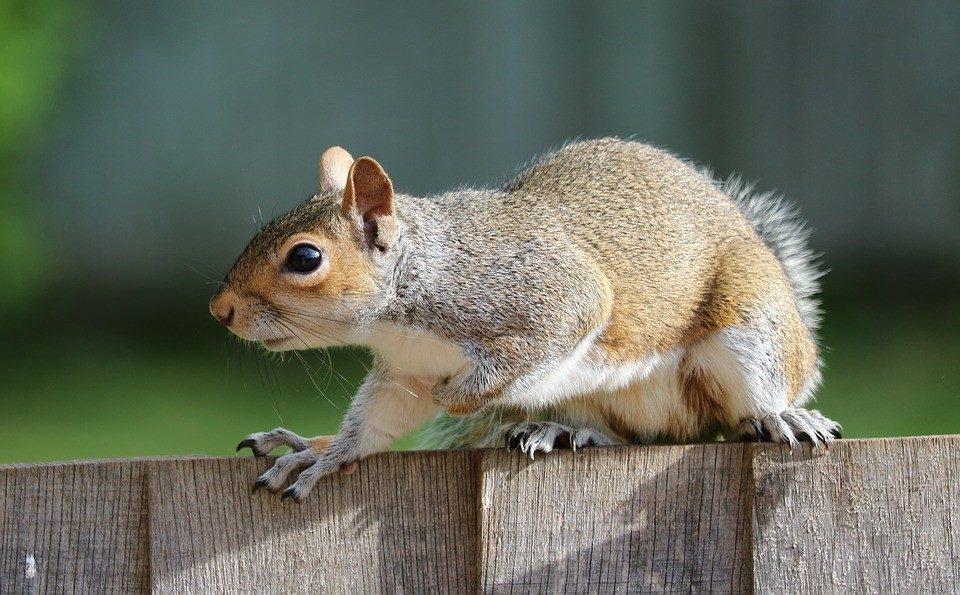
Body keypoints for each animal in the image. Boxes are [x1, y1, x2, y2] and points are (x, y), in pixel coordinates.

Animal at [211, 137, 840, 502]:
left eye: (305, 258)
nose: (221, 311)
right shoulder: (405, 371)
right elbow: (377, 422)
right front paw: (323, 454)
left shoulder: (551, 296)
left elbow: (544, 340)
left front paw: (461, 396)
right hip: (599, 401)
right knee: (624, 435)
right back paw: (561, 429)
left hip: (750, 326)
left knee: (748, 401)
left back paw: (781, 417)